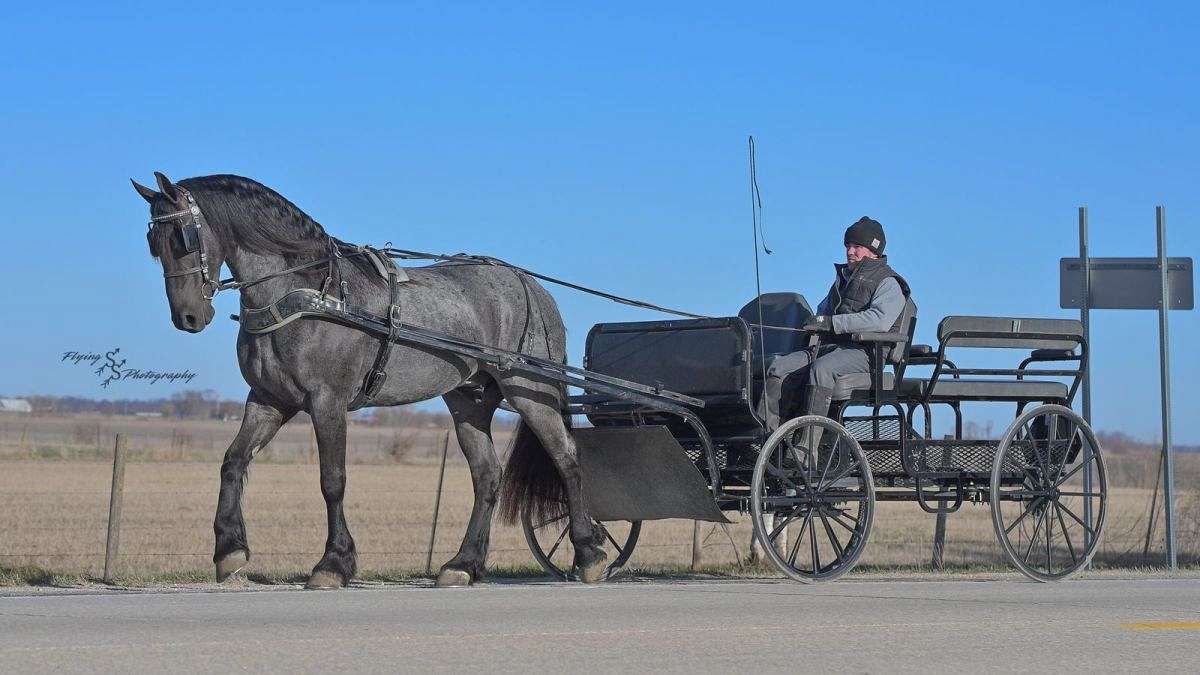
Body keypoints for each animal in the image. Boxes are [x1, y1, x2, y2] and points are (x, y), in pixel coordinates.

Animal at [133, 171, 605, 588]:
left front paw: (332, 564)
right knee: (487, 475)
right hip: (469, 400)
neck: (310, 295)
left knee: (566, 457)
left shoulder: (327, 402)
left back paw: (589, 554)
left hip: (532, 393)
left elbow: (332, 481)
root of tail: (530, 285)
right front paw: (230, 551)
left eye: (183, 238)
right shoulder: (268, 400)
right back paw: (463, 565)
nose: (188, 317)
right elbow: (233, 460)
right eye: (153, 244)